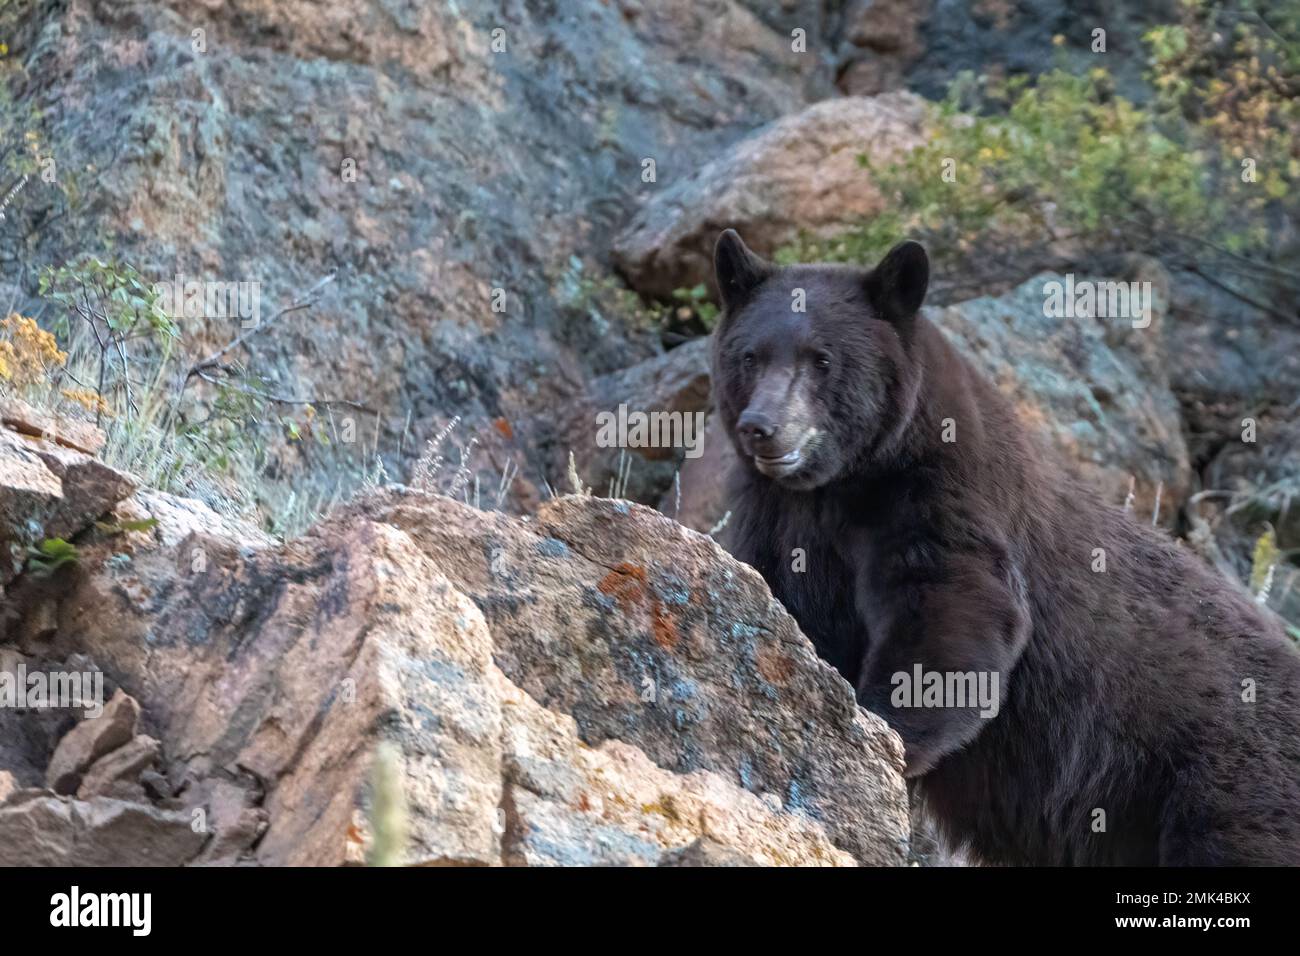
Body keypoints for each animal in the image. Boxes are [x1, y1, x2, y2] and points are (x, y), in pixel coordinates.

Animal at [710, 228, 1300, 866]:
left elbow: (954, 605)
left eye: (822, 359)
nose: (762, 427)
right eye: (750, 356)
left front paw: (877, 732)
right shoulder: (777, 518)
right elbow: (783, 603)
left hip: (1228, 773)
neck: (842, 484)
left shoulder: (946, 495)